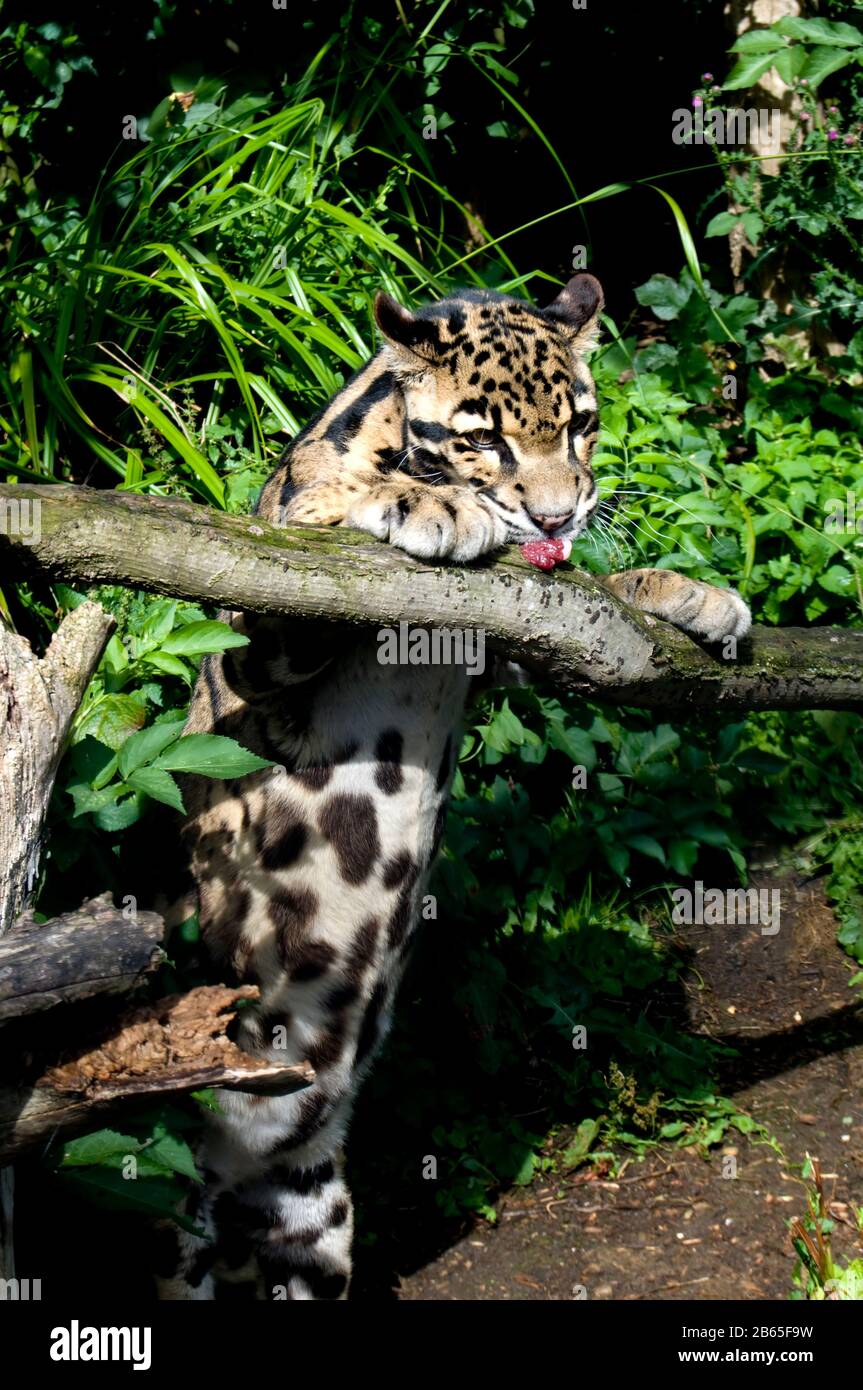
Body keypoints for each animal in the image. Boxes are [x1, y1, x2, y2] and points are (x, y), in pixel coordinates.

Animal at [159, 273, 750, 1301]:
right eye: (485, 439)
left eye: (580, 424)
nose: (555, 516)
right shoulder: (254, 642)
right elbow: (307, 534)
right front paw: (411, 502)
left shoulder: (502, 653)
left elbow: (599, 595)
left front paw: (691, 594)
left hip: (308, 1216)